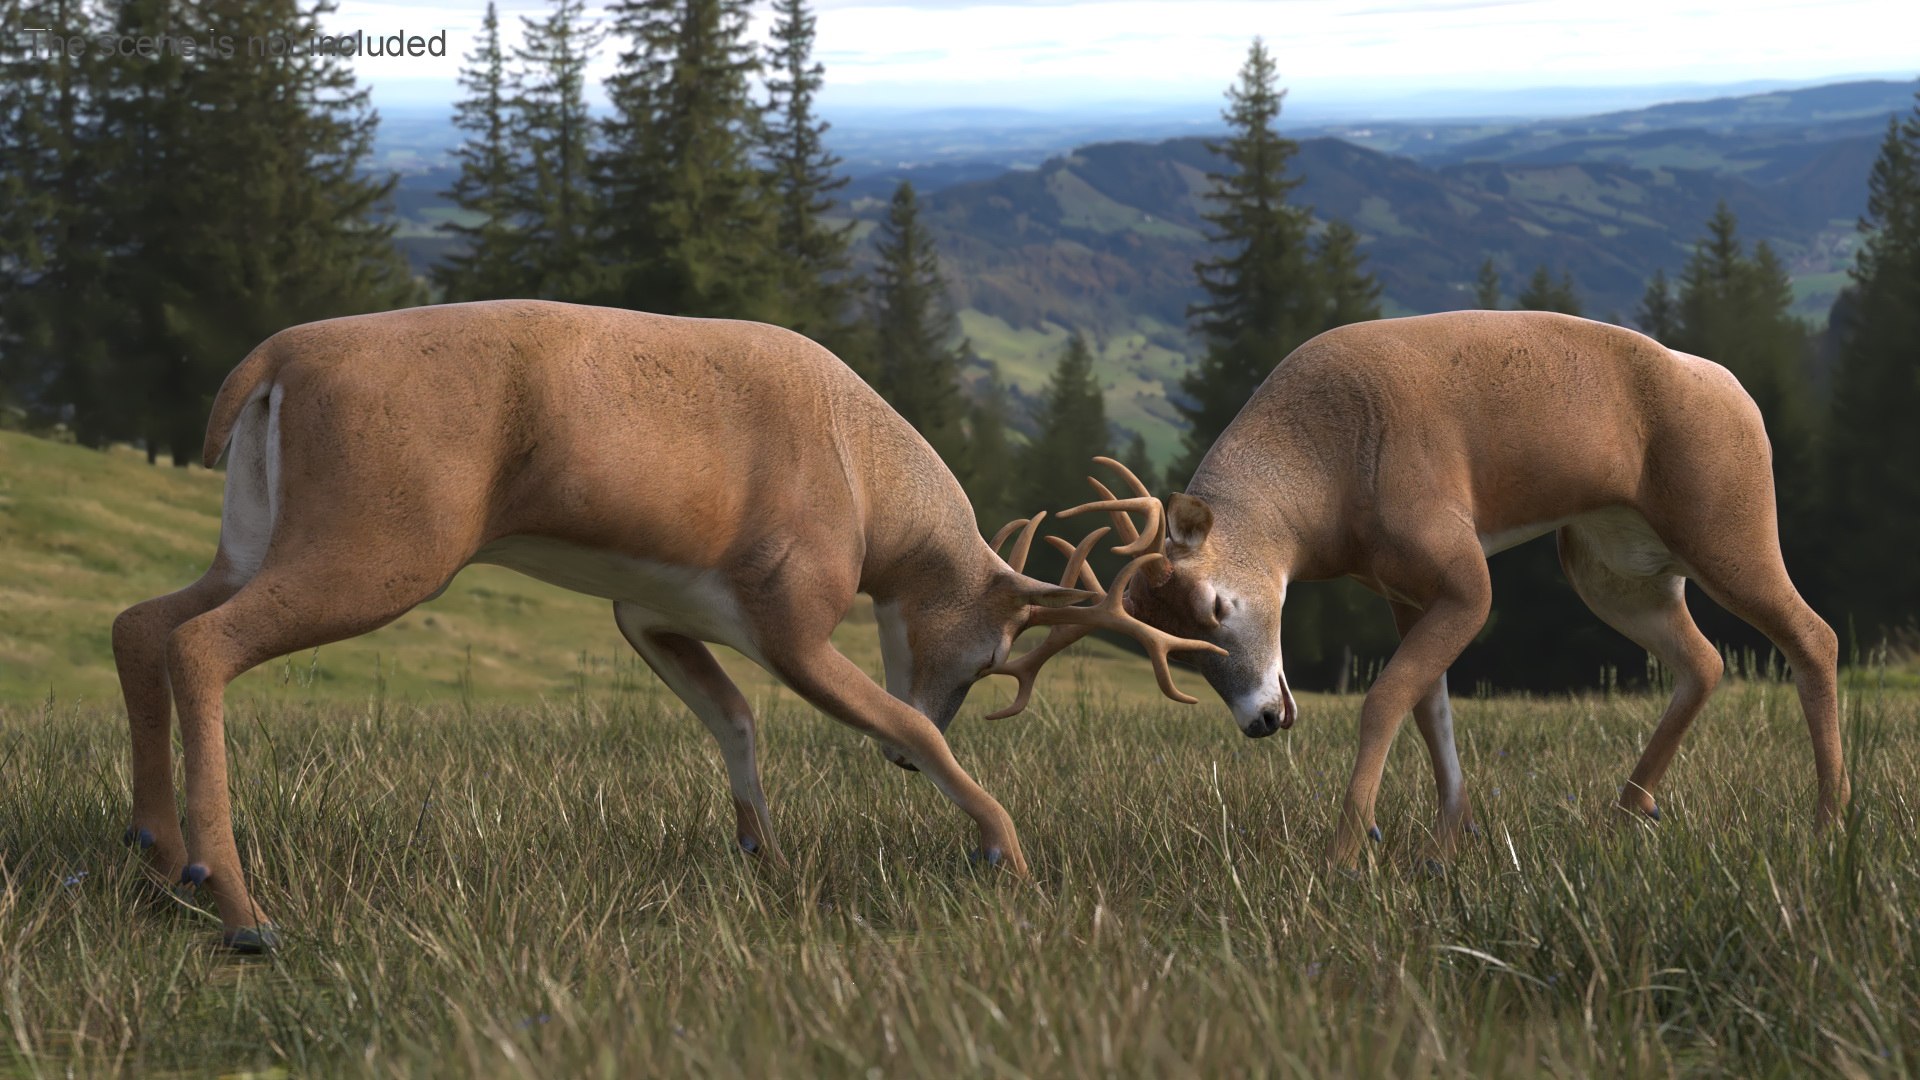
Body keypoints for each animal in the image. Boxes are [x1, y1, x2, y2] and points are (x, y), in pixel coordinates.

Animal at [110, 299, 1220, 951]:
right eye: (990, 655)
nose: (903, 778)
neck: (868, 498)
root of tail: (270, 358)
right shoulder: (793, 608)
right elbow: (891, 715)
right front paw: (1005, 850)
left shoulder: (653, 609)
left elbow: (736, 720)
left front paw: (766, 858)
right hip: (383, 538)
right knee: (199, 643)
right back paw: (242, 909)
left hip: (258, 537)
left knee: (140, 622)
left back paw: (162, 859)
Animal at [1057, 309, 1849, 869]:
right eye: (1180, 652)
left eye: (1218, 605)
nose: (1260, 720)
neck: (1327, 481)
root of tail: (1739, 394)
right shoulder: (1402, 592)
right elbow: (1429, 707)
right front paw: (1449, 846)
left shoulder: (1465, 577)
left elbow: (1384, 697)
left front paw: (1342, 854)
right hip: (1611, 566)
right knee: (1704, 660)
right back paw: (1622, 817)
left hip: (1728, 525)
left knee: (1814, 635)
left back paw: (1828, 823)